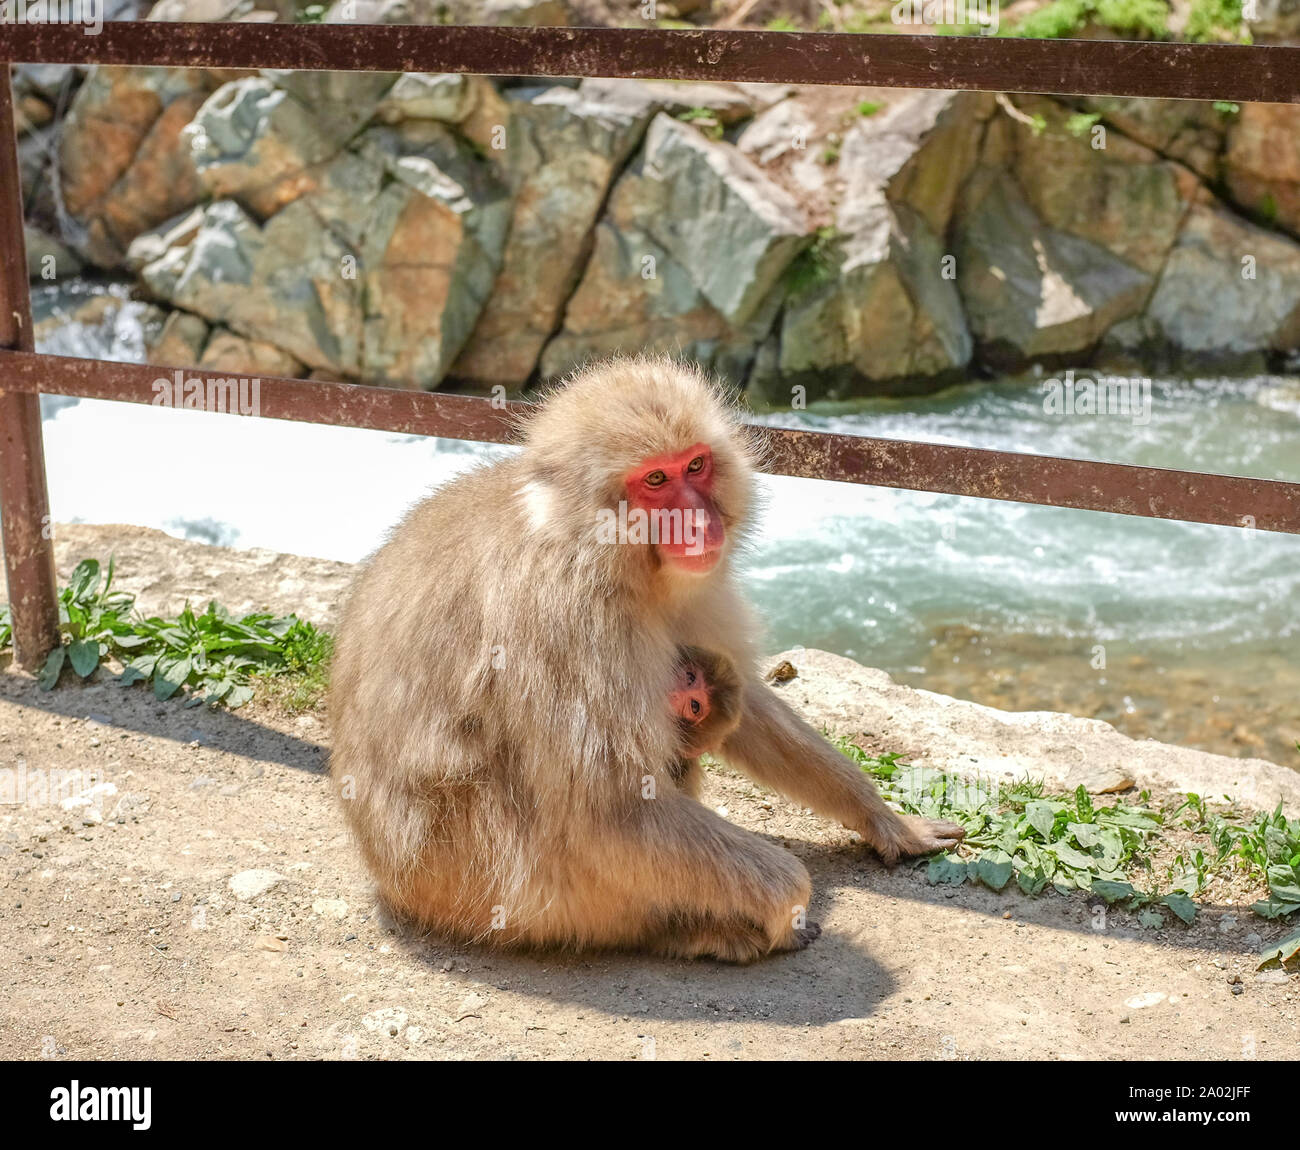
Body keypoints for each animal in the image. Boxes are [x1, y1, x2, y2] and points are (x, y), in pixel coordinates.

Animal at [329, 355, 964, 963]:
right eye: (655, 479)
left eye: (696, 466)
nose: (699, 523)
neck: (597, 549)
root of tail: (393, 880)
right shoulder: (570, 621)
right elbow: (611, 812)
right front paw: (791, 903)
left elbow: (746, 702)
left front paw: (886, 819)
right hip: (509, 891)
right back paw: (684, 932)